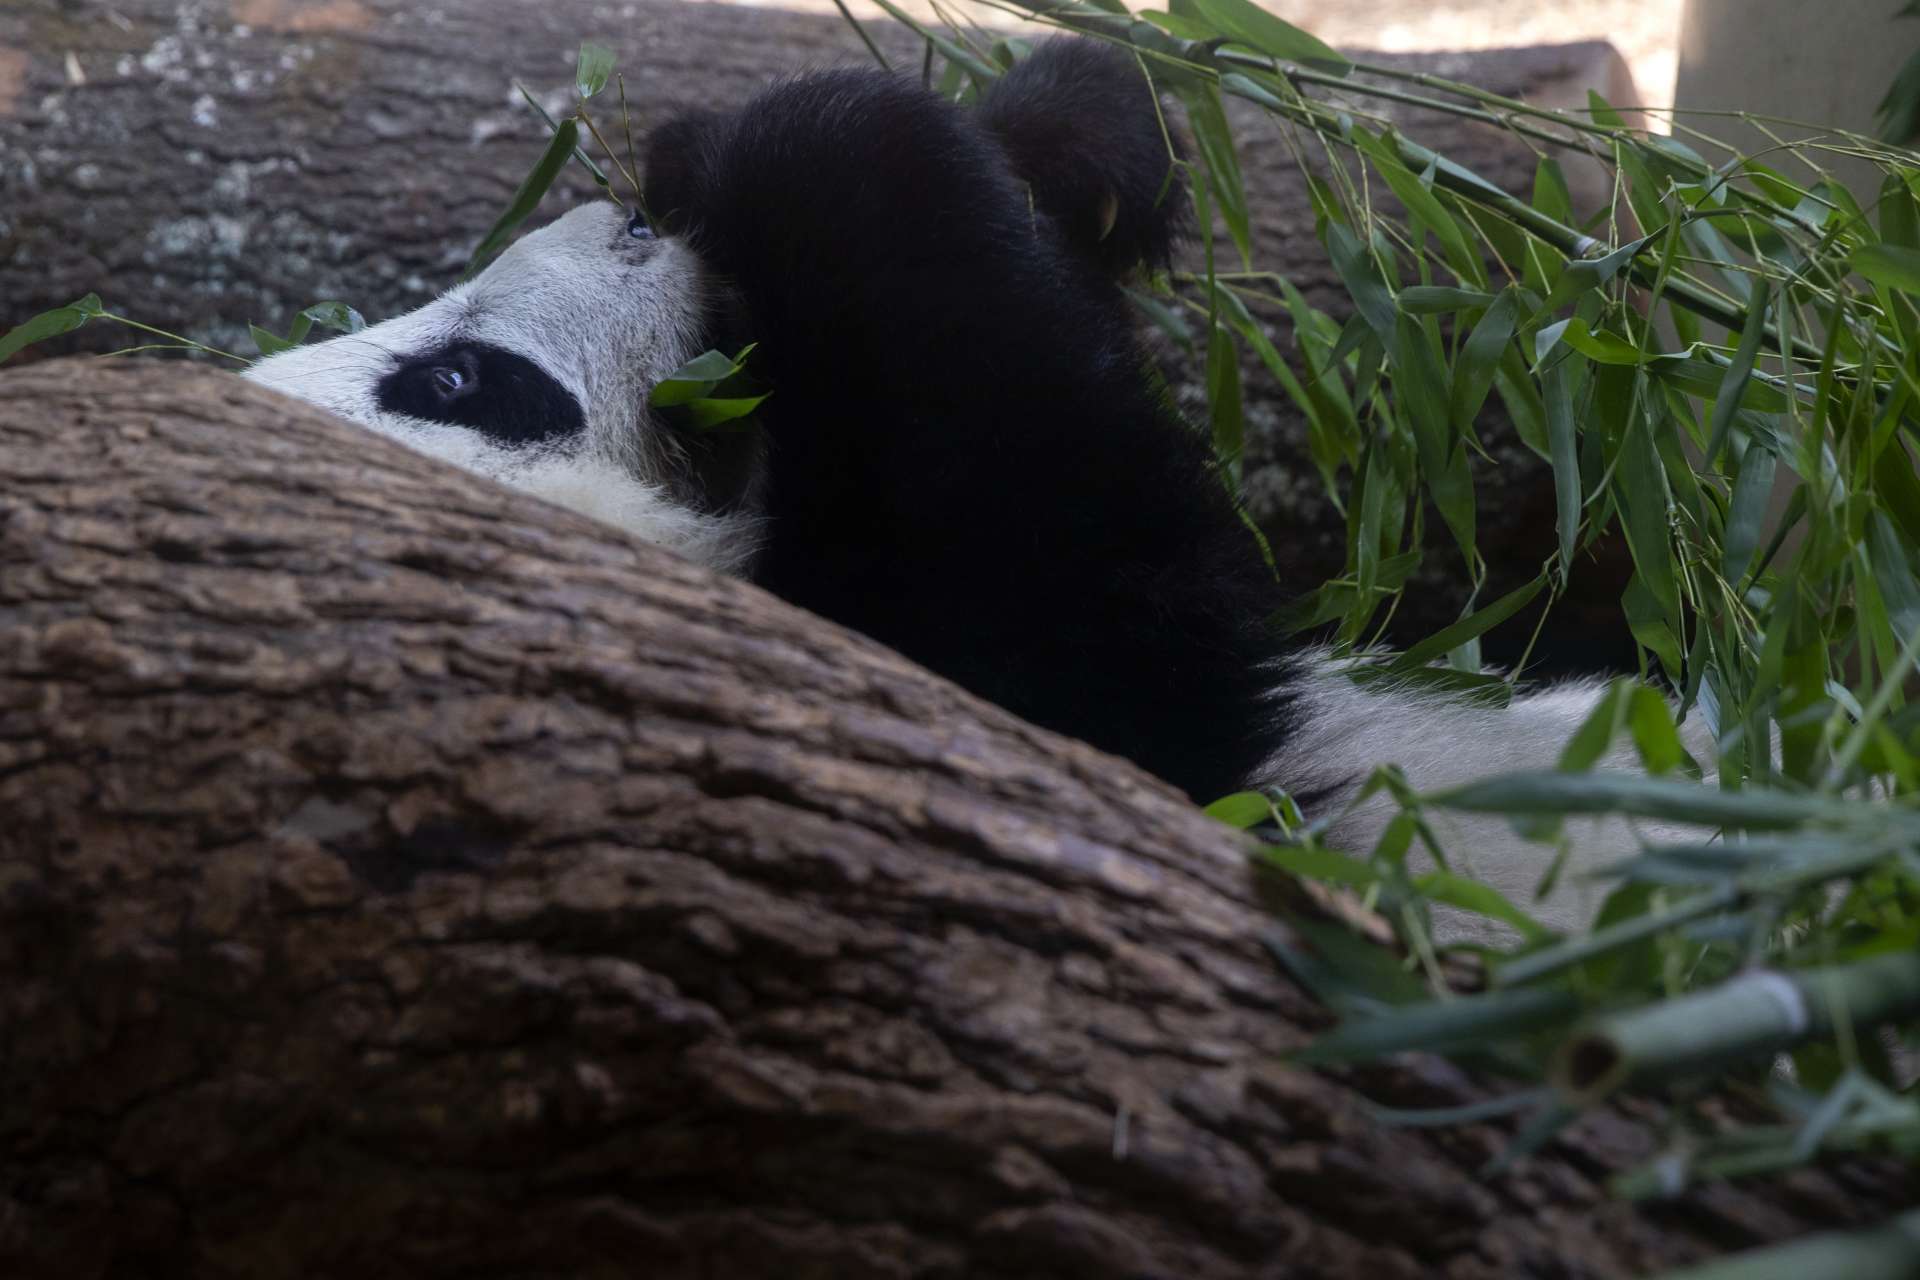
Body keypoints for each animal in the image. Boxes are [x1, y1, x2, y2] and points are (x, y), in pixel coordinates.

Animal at [245, 39, 1699, 939]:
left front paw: (1075, 122)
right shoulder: (1015, 730)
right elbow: (1077, 553)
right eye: (454, 384)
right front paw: (801, 142)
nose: (622, 220)